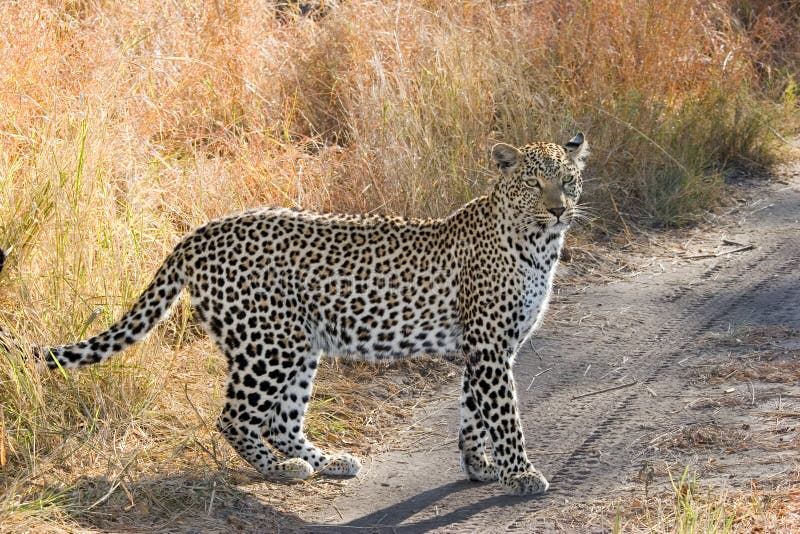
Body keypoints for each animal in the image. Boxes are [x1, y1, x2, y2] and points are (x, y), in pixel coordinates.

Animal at [0, 133, 588, 495]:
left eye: (568, 180)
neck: (541, 243)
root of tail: (197, 234)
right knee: (235, 418)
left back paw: (325, 461)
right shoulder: (489, 346)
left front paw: (479, 466)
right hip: (268, 346)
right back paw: (283, 470)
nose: (559, 208)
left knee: (281, 419)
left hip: (299, 344)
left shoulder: (481, 348)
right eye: (534, 182)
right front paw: (522, 473)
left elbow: (473, 413)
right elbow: (504, 415)